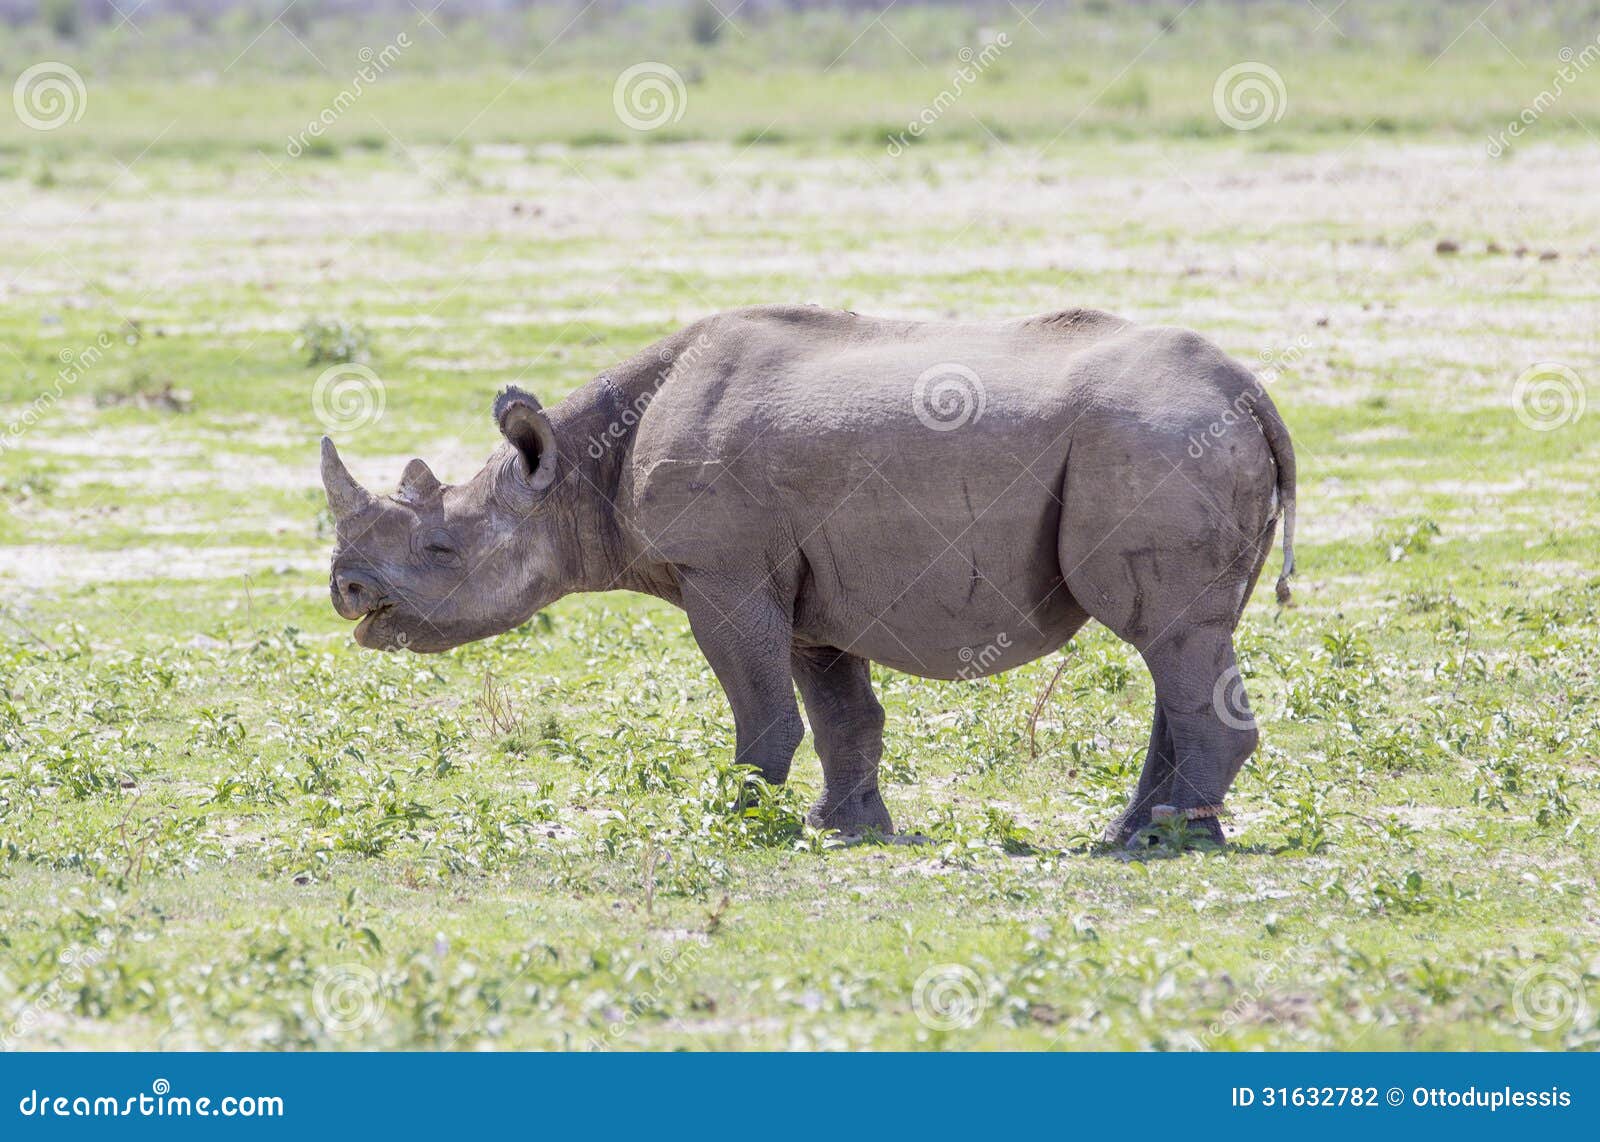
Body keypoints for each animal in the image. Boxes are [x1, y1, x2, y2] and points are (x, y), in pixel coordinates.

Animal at [320, 305, 1296, 846]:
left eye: (442, 550)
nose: (347, 593)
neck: (571, 473)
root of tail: (1250, 391)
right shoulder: (811, 587)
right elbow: (842, 712)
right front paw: (845, 828)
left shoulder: (724, 570)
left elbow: (760, 702)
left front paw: (738, 814)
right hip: (1170, 439)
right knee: (1182, 642)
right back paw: (1139, 833)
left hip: (1155, 440)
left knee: (1170, 635)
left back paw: (1165, 840)